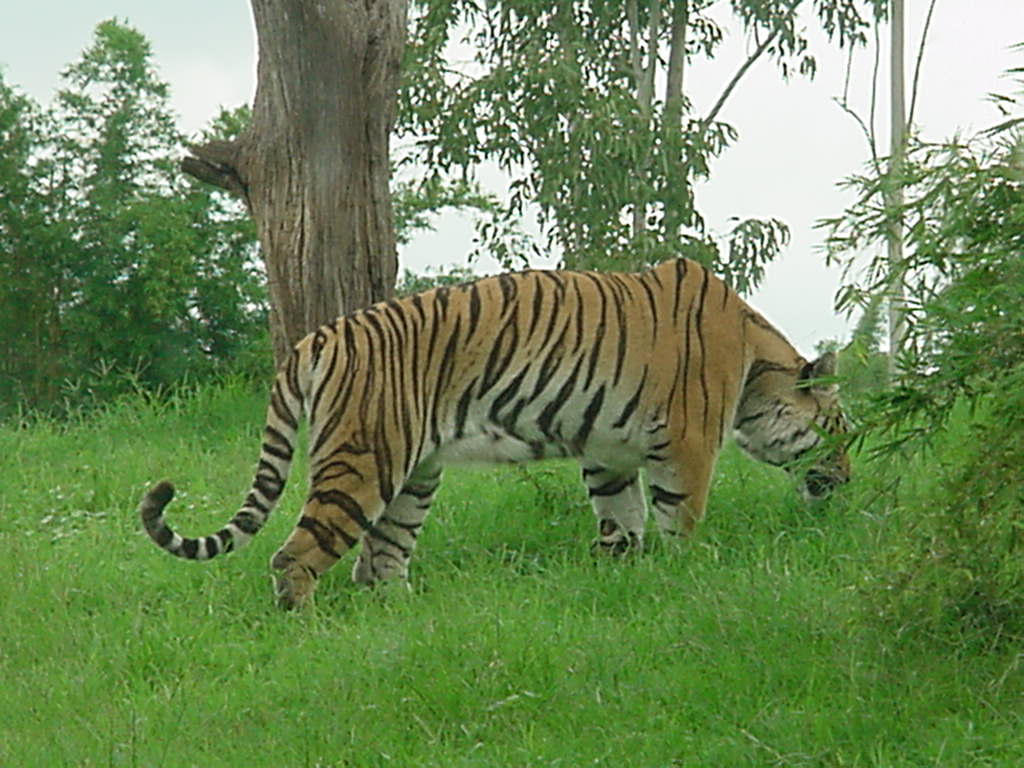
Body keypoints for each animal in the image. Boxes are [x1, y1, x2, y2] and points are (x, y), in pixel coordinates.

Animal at [140, 258, 850, 609]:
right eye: (842, 430)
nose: (845, 480)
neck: (756, 365)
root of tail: (317, 336)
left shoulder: (610, 454)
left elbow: (623, 523)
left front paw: (624, 578)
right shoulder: (688, 444)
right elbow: (682, 520)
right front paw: (683, 579)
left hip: (415, 476)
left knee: (381, 559)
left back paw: (402, 622)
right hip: (364, 460)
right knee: (296, 557)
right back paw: (309, 629)